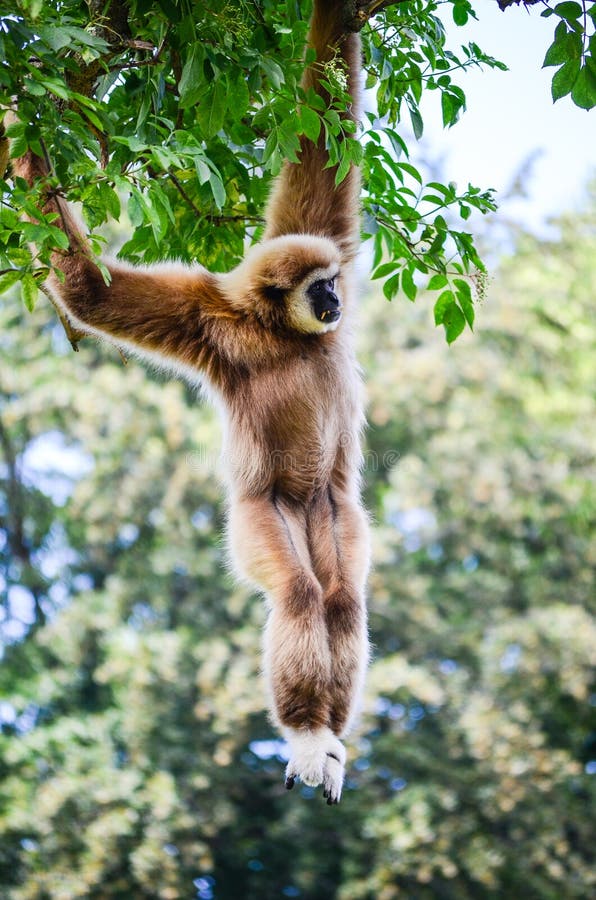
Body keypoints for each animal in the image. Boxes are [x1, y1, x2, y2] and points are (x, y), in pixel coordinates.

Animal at [8, 0, 369, 804]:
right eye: (319, 288)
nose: (335, 300)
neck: (279, 330)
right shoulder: (210, 317)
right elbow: (90, 293)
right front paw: (26, 131)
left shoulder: (314, 241)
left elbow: (322, 139)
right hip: (262, 514)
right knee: (301, 595)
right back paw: (309, 732)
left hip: (335, 510)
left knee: (340, 597)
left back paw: (325, 737)